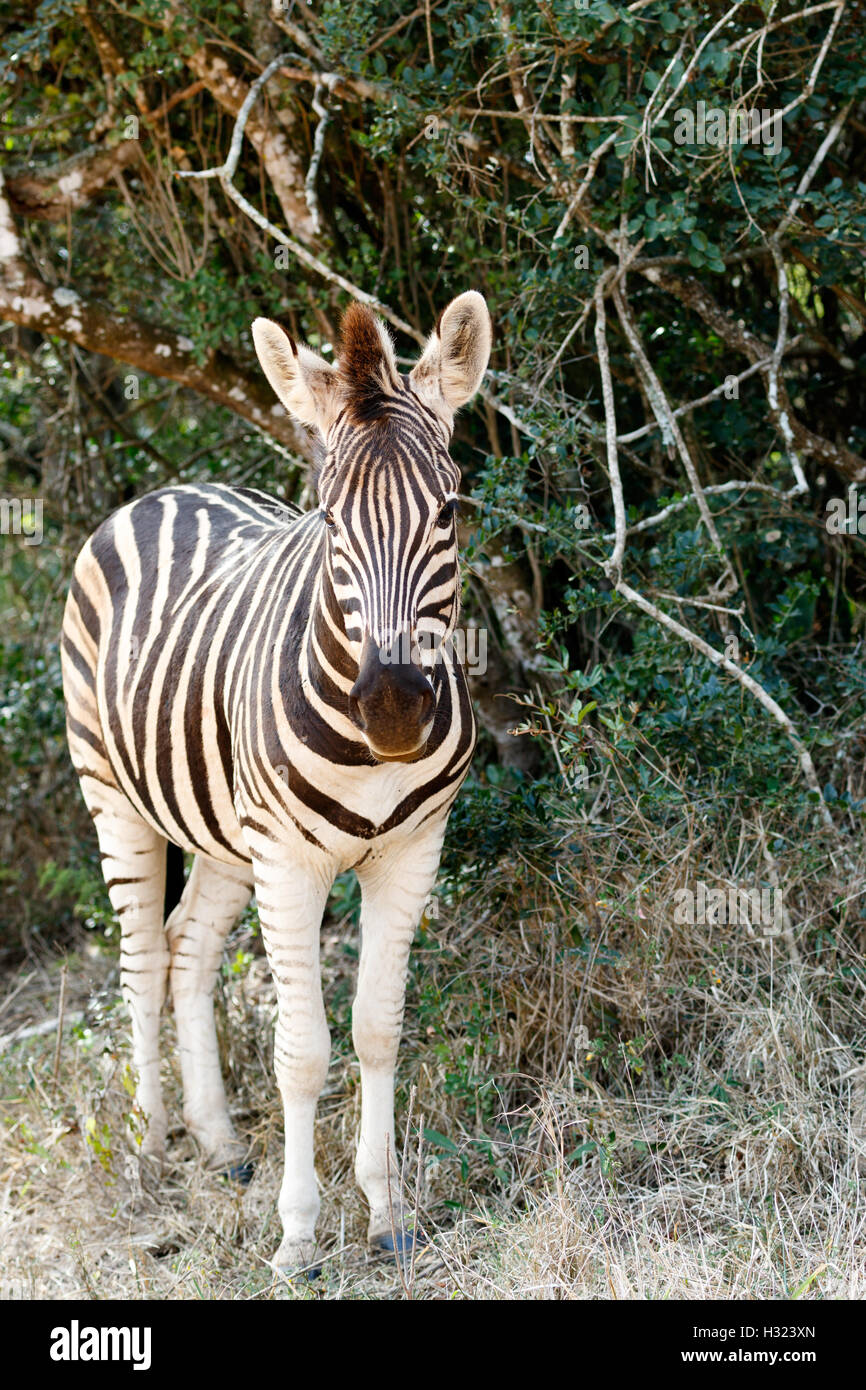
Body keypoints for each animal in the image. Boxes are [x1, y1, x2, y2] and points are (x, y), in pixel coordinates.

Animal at [61, 291, 491, 1271]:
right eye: (329, 521)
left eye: (449, 509)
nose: (395, 710)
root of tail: (165, 492)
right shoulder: (290, 866)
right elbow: (303, 1051)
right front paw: (298, 1237)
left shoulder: (413, 851)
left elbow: (377, 1028)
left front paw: (387, 1211)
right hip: (114, 796)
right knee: (142, 957)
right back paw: (151, 1149)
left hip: (225, 831)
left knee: (188, 947)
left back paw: (220, 1143)